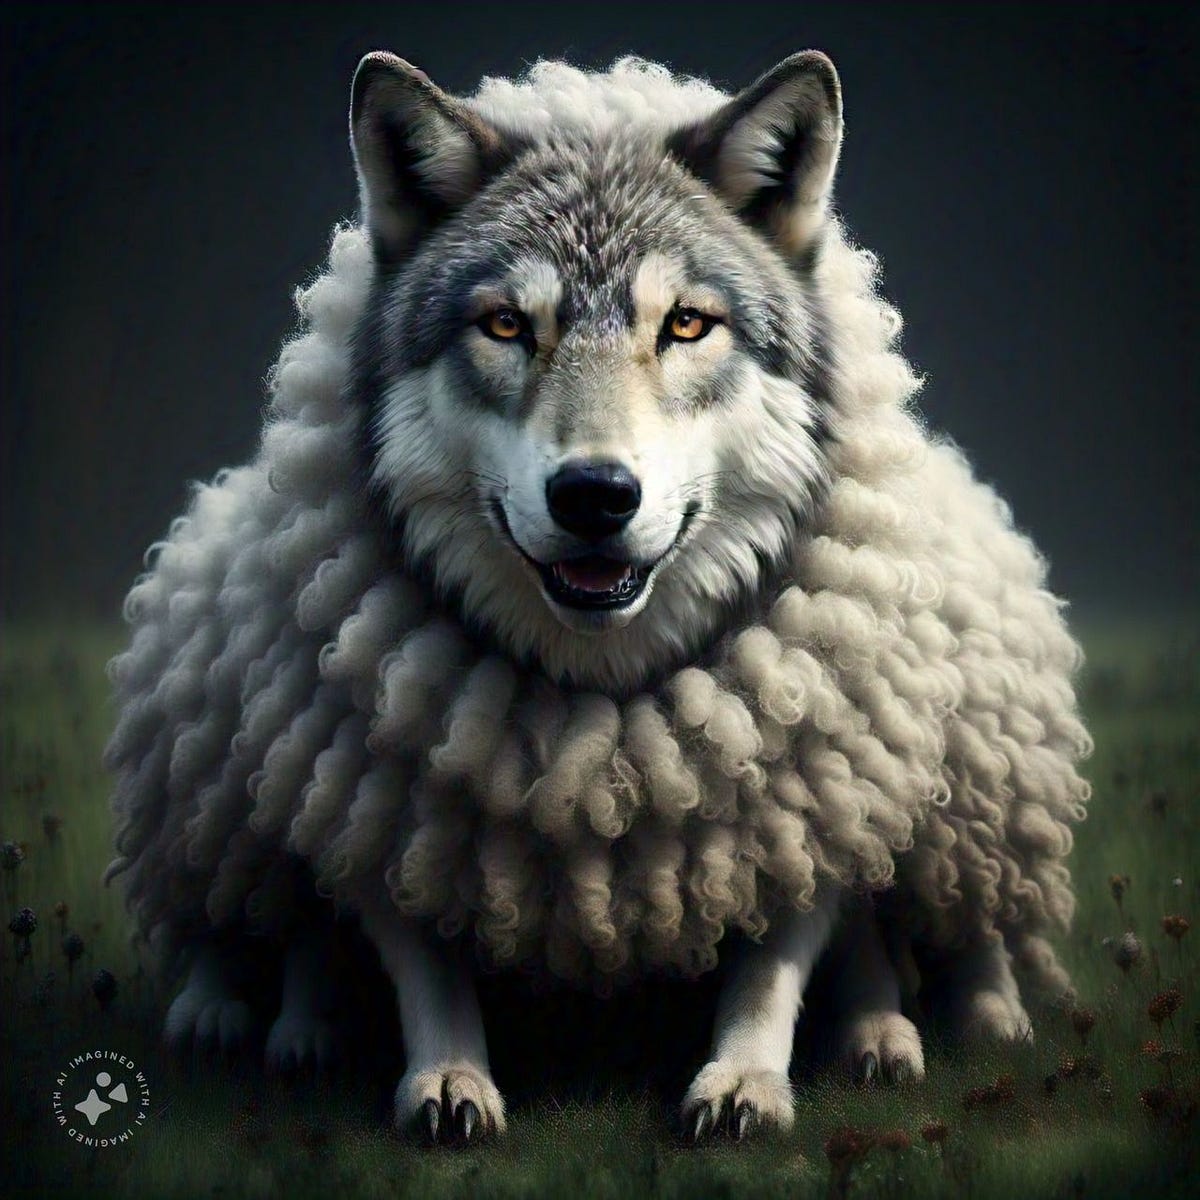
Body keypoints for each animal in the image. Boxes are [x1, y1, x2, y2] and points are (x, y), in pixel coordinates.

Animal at [107, 50, 1090, 1143]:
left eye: (686, 324)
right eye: (506, 325)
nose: (593, 496)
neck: (601, 730)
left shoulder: (811, 795)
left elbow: (777, 955)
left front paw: (744, 1084)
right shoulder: (382, 801)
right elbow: (419, 954)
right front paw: (449, 1081)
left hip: (968, 795)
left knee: (939, 930)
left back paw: (939, 1031)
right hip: (225, 783)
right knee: (251, 927)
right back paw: (253, 1027)